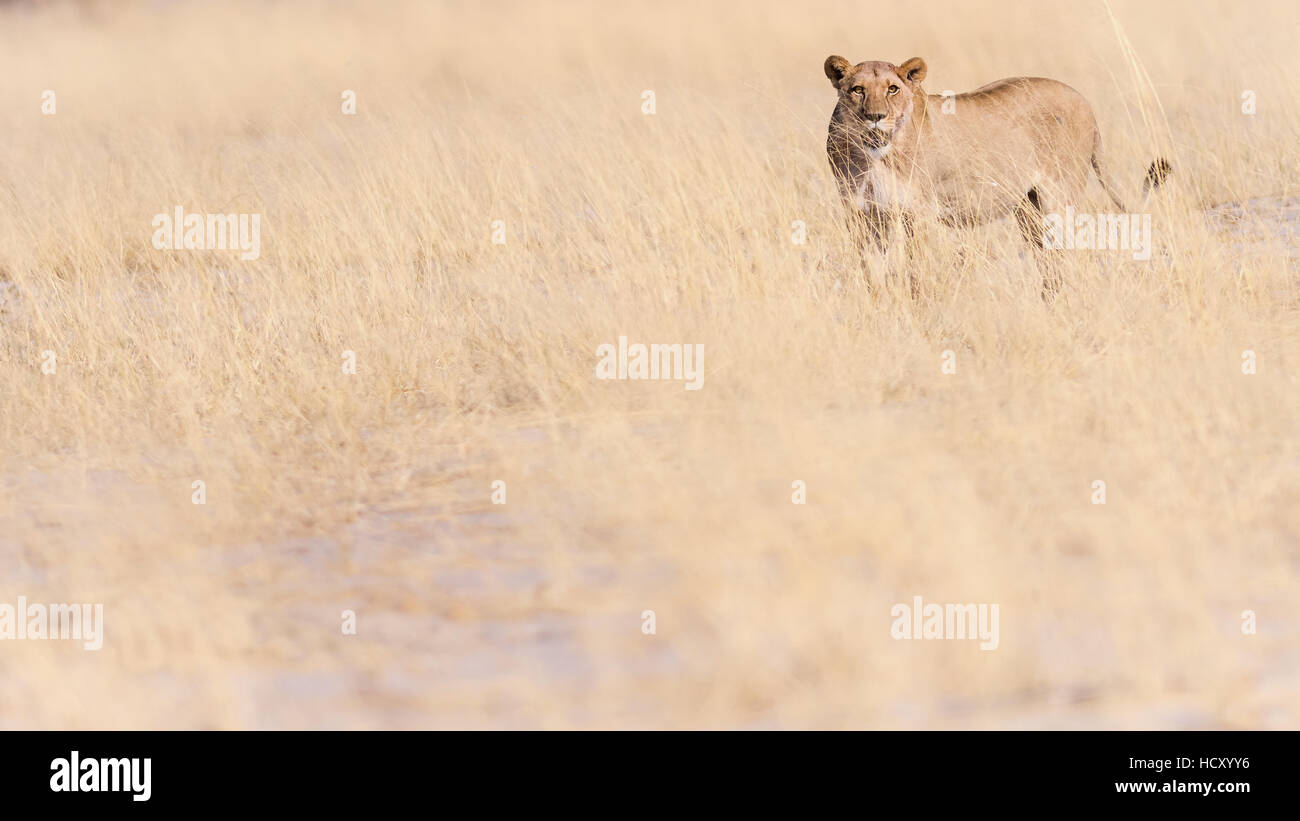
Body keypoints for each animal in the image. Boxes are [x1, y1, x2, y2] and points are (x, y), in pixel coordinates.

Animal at [823, 55, 1170, 292]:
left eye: (893, 89)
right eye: (857, 90)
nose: (875, 117)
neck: (872, 157)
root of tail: (1084, 101)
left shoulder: (918, 214)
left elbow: (916, 272)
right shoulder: (861, 215)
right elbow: (871, 271)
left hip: (1058, 197)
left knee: (1068, 253)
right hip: (1029, 208)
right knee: (1047, 259)